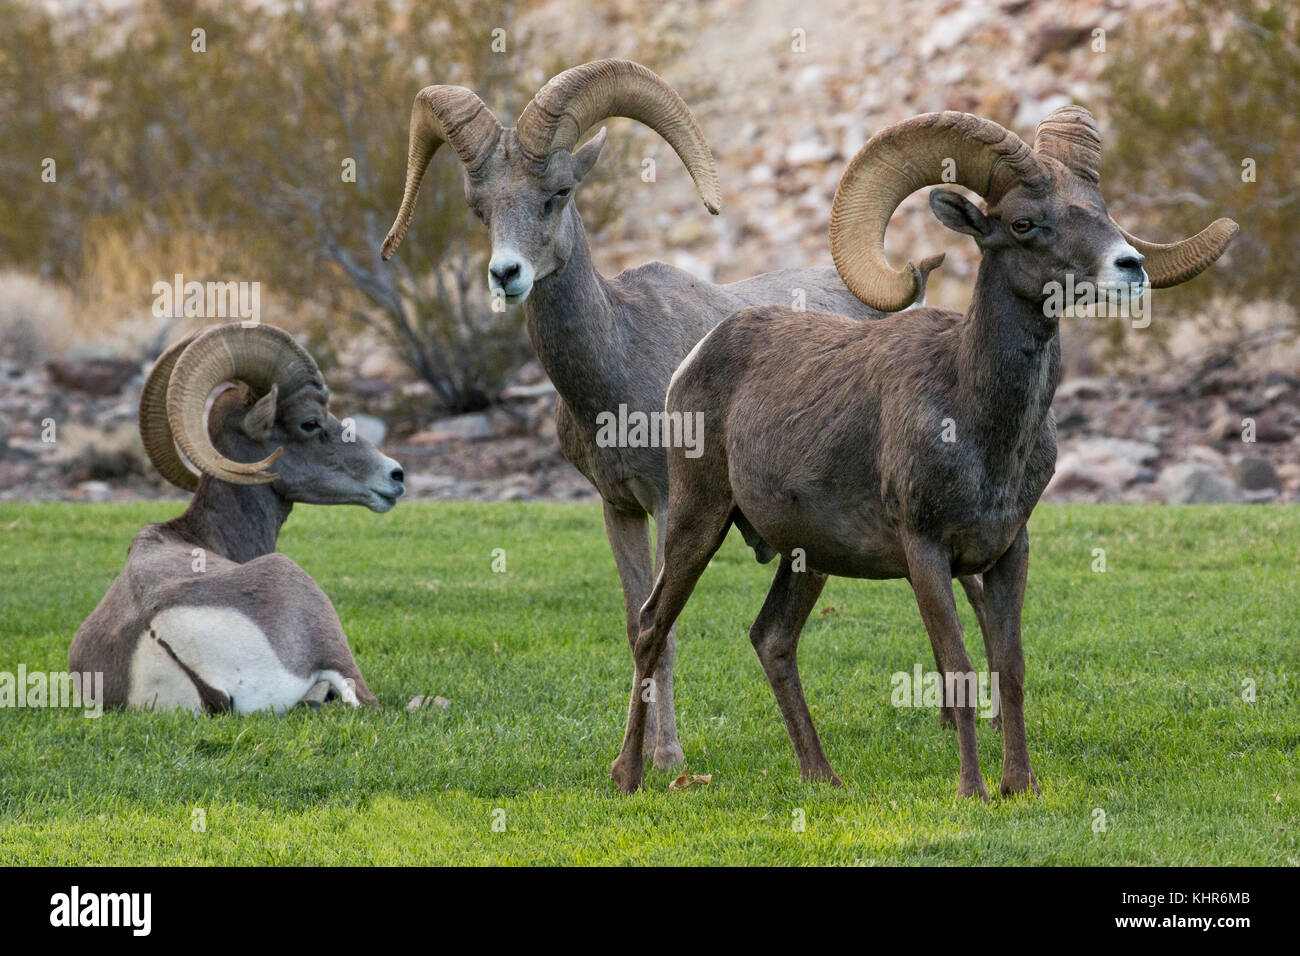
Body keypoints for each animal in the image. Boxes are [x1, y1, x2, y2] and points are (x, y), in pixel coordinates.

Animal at [380, 58, 951, 769]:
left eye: (557, 193)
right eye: (479, 207)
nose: (505, 275)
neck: (616, 363)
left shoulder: (669, 502)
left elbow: (669, 628)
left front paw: (668, 759)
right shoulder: (618, 506)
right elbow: (638, 624)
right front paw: (631, 756)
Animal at [609, 106, 1238, 796]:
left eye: (1099, 210)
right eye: (1023, 223)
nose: (1130, 267)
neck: (979, 427)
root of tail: (697, 357)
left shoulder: (1009, 550)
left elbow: (1009, 667)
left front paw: (1021, 787)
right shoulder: (926, 554)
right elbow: (960, 669)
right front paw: (972, 792)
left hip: (806, 559)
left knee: (771, 639)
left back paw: (822, 778)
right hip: (697, 520)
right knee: (650, 627)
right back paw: (630, 775)